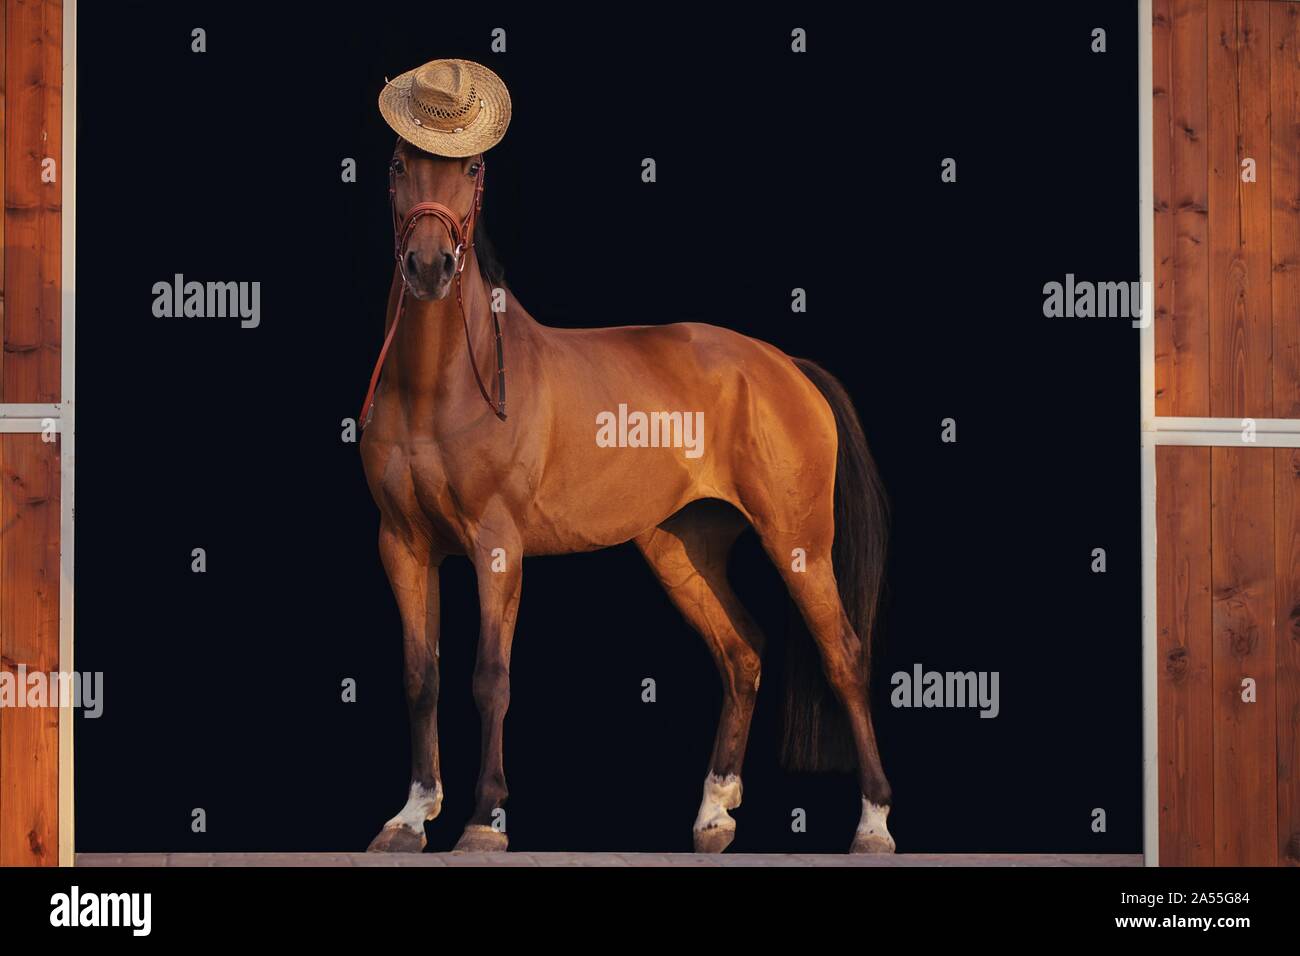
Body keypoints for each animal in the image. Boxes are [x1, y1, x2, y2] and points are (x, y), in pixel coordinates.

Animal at [360, 137, 895, 855]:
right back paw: (713, 813)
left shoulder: (497, 548)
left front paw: (483, 823)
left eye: (472, 170)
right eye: (397, 166)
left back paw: (872, 824)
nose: (428, 266)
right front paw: (410, 817)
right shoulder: (404, 546)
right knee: (741, 651)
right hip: (681, 550)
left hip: (798, 542)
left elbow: (490, 678)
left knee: (843, 655)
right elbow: (422, 677)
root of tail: (784, 366)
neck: (442, 387)